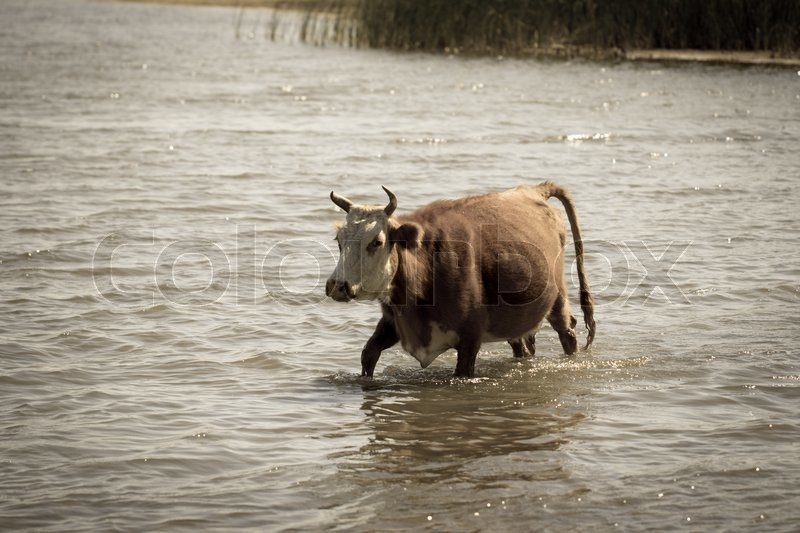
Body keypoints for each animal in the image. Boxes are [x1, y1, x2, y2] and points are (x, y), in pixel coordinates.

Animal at [325, 182, 596, 378]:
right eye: (340, 241)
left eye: (376, 242)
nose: (337, 286)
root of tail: (535, 190)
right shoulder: (394, 323)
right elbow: (369, 354)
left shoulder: (469, 340)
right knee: (523, 346)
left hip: (557, 300)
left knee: (567, 333)